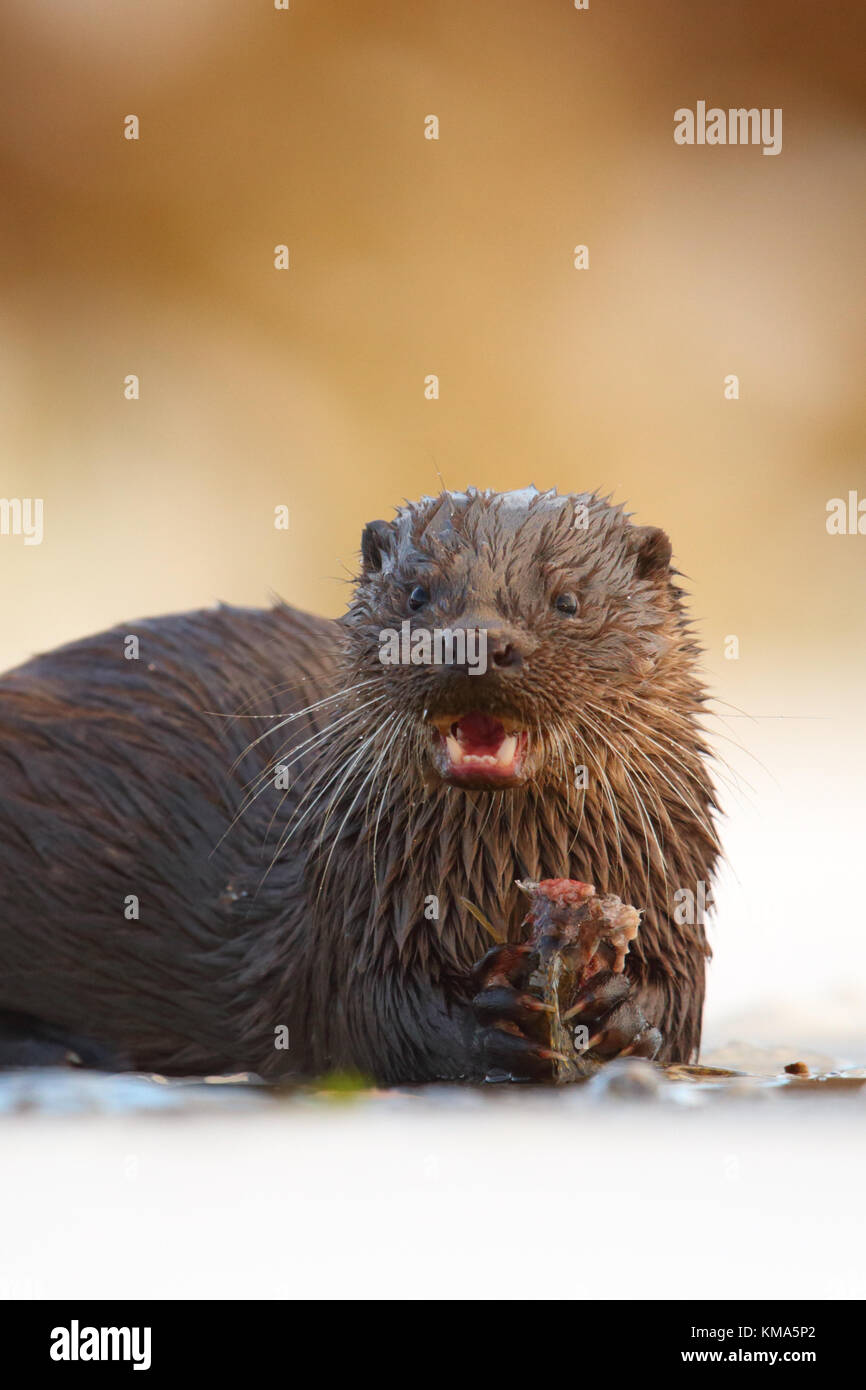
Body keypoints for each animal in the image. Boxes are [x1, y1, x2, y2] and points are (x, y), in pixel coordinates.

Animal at [0, 488, 720, 1082]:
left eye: (568, 600)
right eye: (417, 596)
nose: (477, 642)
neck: (493, 879)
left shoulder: (673, 899)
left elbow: (679, 1001)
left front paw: (620, 1013)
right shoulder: (353, 917)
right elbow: (375, 1015)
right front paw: (486, 1027)